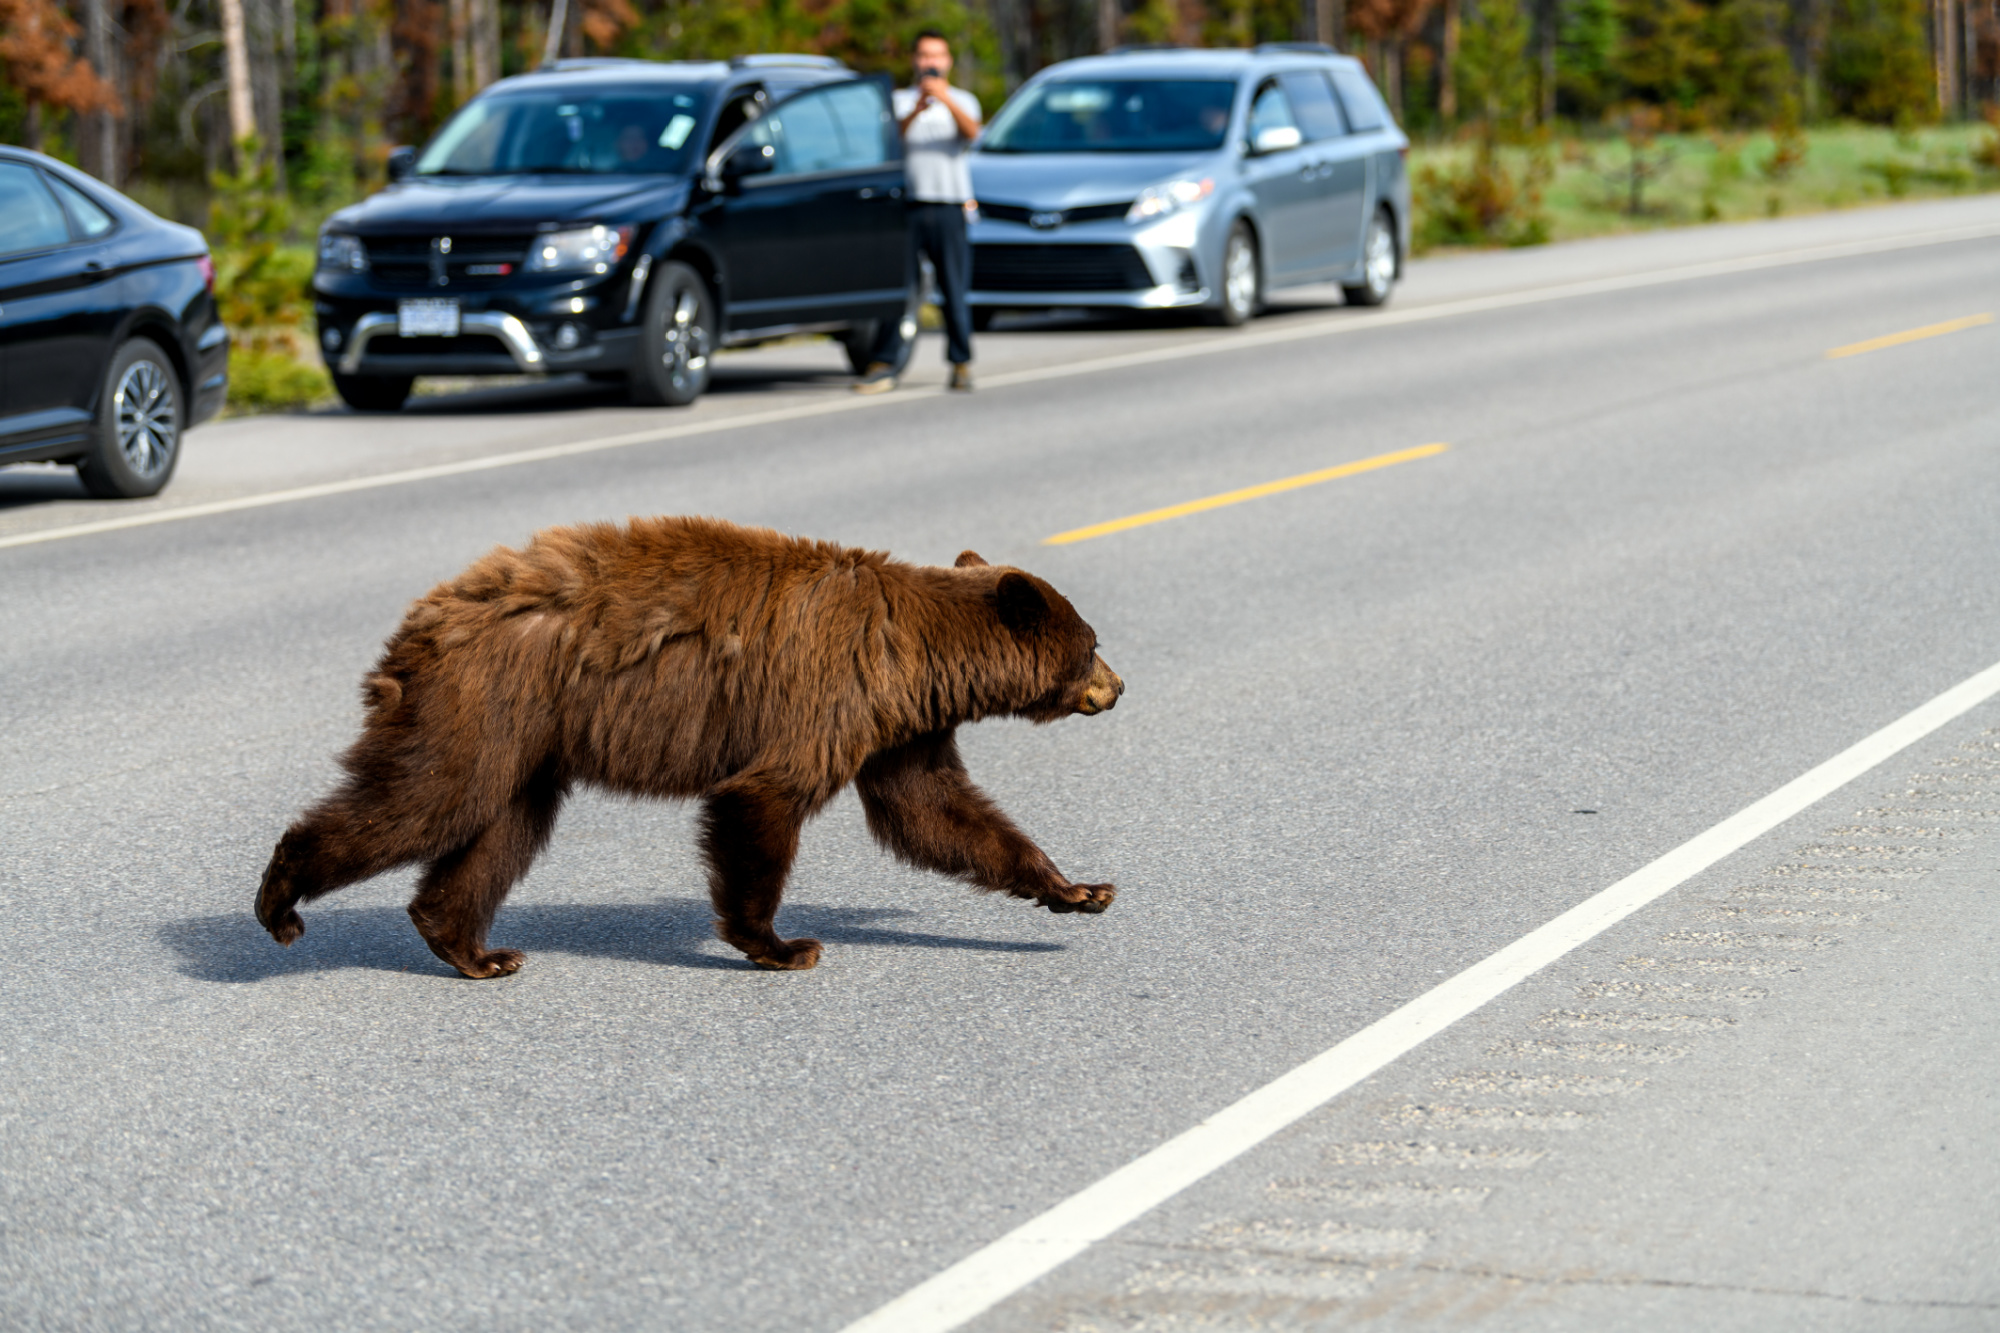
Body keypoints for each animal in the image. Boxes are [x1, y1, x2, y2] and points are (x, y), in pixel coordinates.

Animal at [254, 515, 1125, 978]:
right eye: (1092, 642)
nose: (1118, 686)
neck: (915, 654)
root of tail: (430, 612)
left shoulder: (897, 728)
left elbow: (935, 811)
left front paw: (1076, 889)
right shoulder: (825, 699)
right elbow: (762, 801)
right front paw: (780, 943)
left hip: (528, 737)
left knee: (501, 828)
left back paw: (471, 946)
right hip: (483, 698)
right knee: (428, 798)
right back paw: (281, 900)